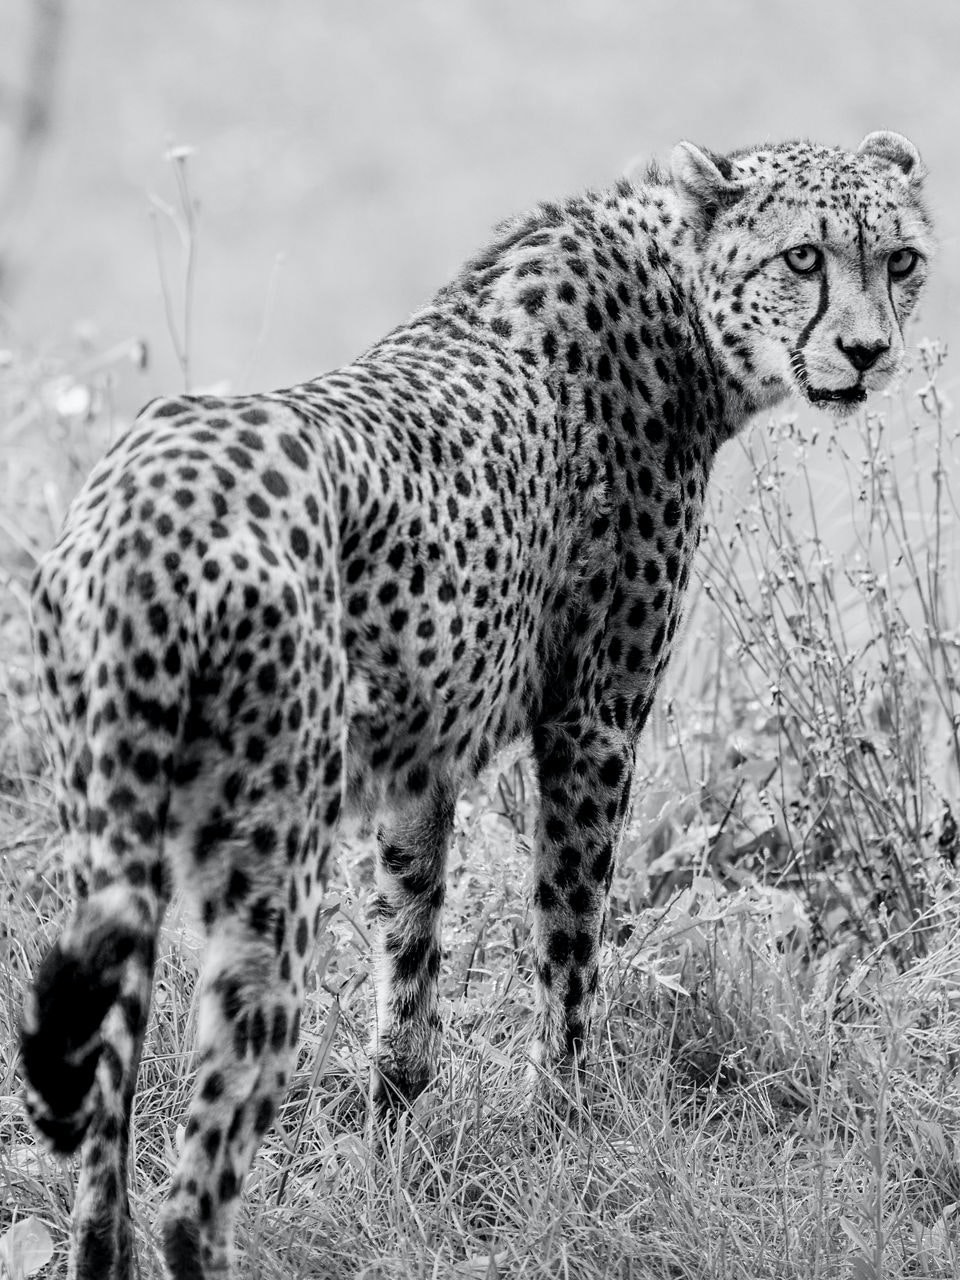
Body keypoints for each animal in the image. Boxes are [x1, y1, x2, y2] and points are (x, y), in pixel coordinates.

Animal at [20, 131, 932, 1279]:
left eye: (901, 260)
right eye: (804, 256)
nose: (867, 351)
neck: (679, 303)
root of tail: (153, 495)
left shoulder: (418, 757)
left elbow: (408, 961)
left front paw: (394, 1157)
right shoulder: (592, 719)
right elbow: (570, 940)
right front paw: (568, 1128)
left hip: (109, 846)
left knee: (100, 1166)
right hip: (271, 867)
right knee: (197, 1184)